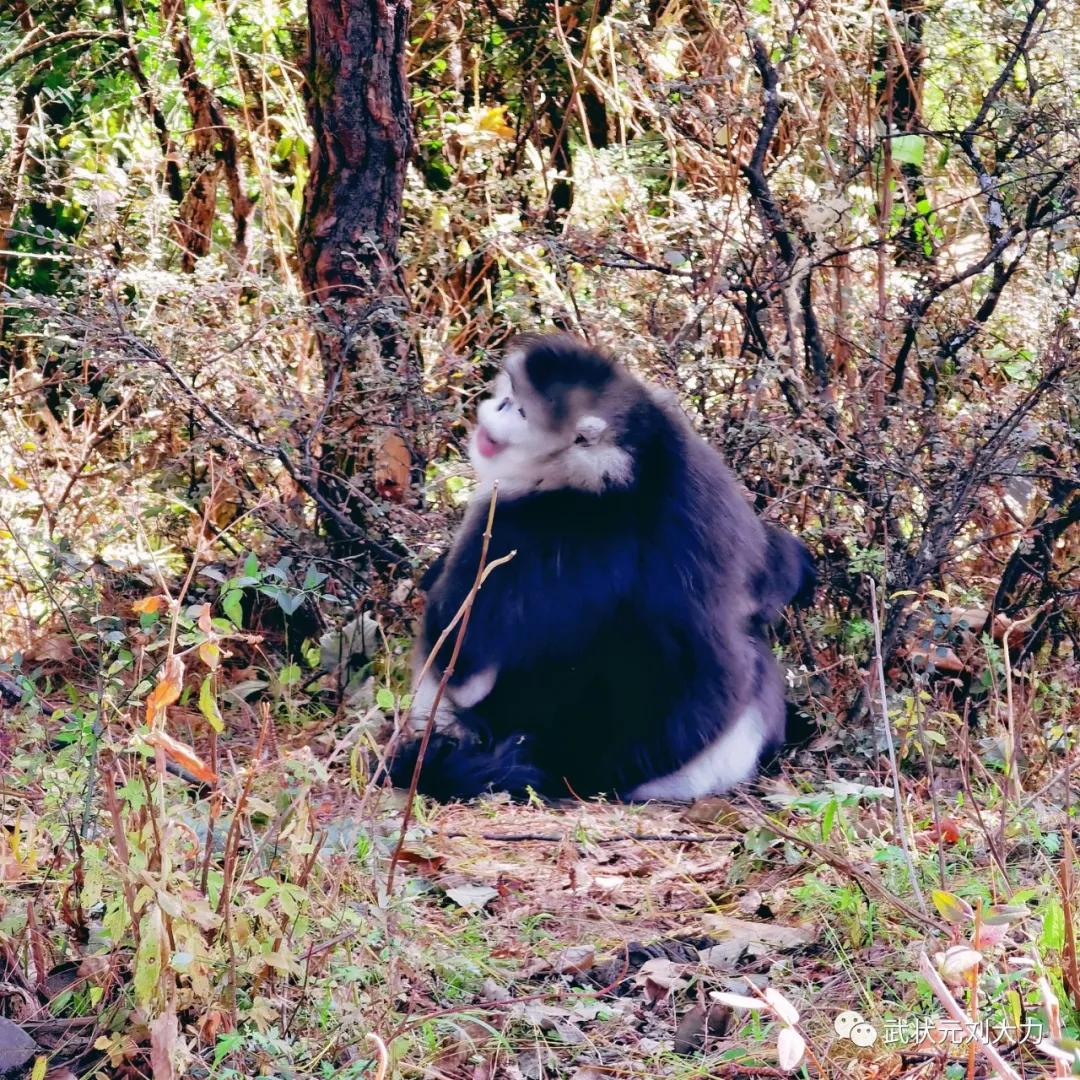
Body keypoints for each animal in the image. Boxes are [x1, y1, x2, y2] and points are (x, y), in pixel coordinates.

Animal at [388, 333, 814, 802]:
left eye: (519, 411)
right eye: (508, 397)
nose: (494, 407)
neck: (620, 474)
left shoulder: (521, 528)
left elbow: (460, 668)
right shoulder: (691, 459)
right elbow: (771, 571)